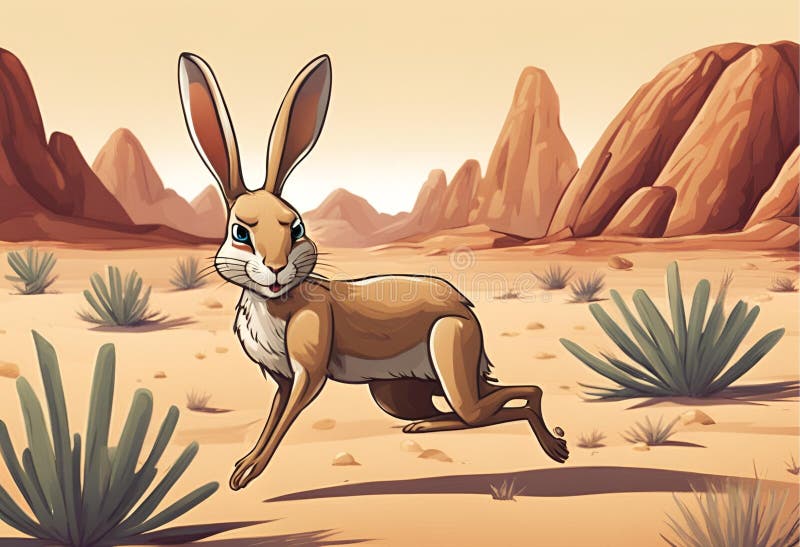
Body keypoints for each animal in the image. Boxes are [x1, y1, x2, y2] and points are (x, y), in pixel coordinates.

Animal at [178, 52, 569, 491]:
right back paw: (429, 429)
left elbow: (284, 420)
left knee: (502, 402)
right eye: (240, 232)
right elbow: (272, 419)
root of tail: (467, 314)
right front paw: (244, 464)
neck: (278, 303)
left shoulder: (307, 373)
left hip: (449, 357)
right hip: (395, 394)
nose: (277, 269)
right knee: (485, 404)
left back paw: (555, 447)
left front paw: (248, 473)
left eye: (296, 228)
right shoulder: (282, 379)